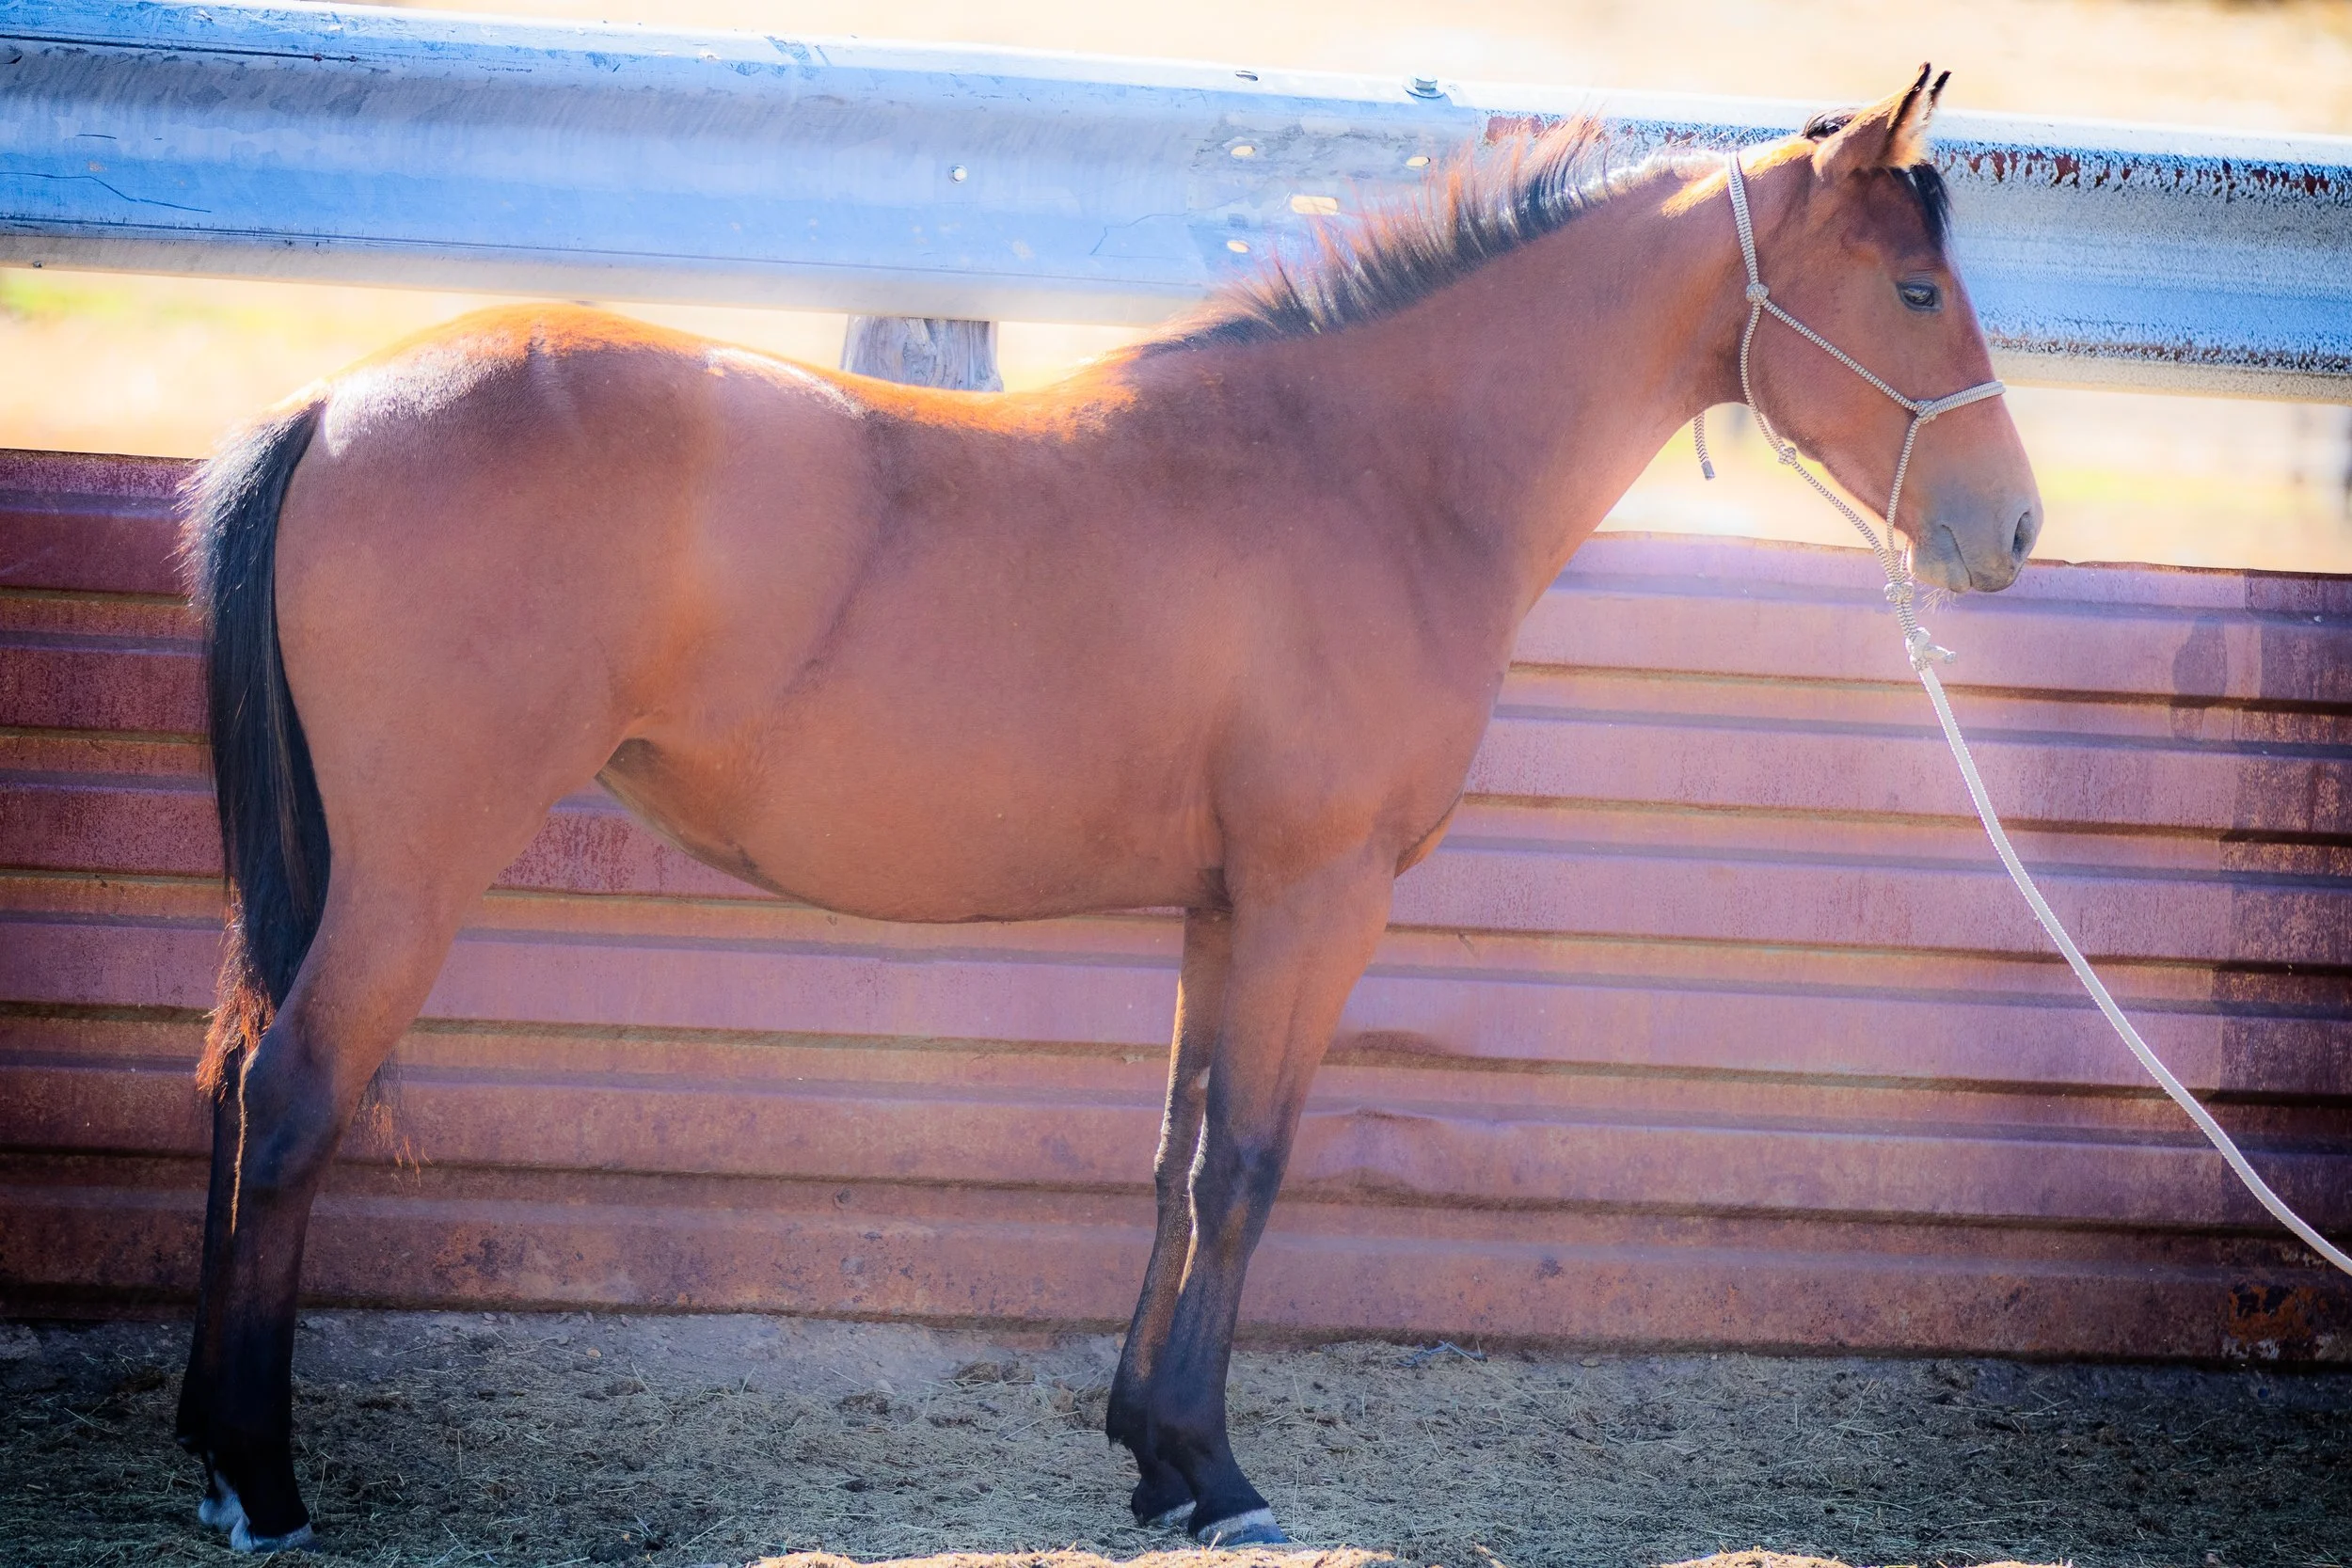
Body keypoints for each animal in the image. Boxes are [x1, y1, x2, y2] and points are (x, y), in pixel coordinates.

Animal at [172, 65, 2040, 1551]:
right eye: (1913, 285)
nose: (2010, 529)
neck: (1370, 474)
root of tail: (340, 400)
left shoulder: (1222, 906)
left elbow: (1174, 1158)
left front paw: (1152, 1454)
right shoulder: (1316, 897)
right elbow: (1252, 1167)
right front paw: (1220, 1470)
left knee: (230, 1082)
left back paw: (208, 1442)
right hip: (413, 868)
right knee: (293, 1095)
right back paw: (259, 1477)